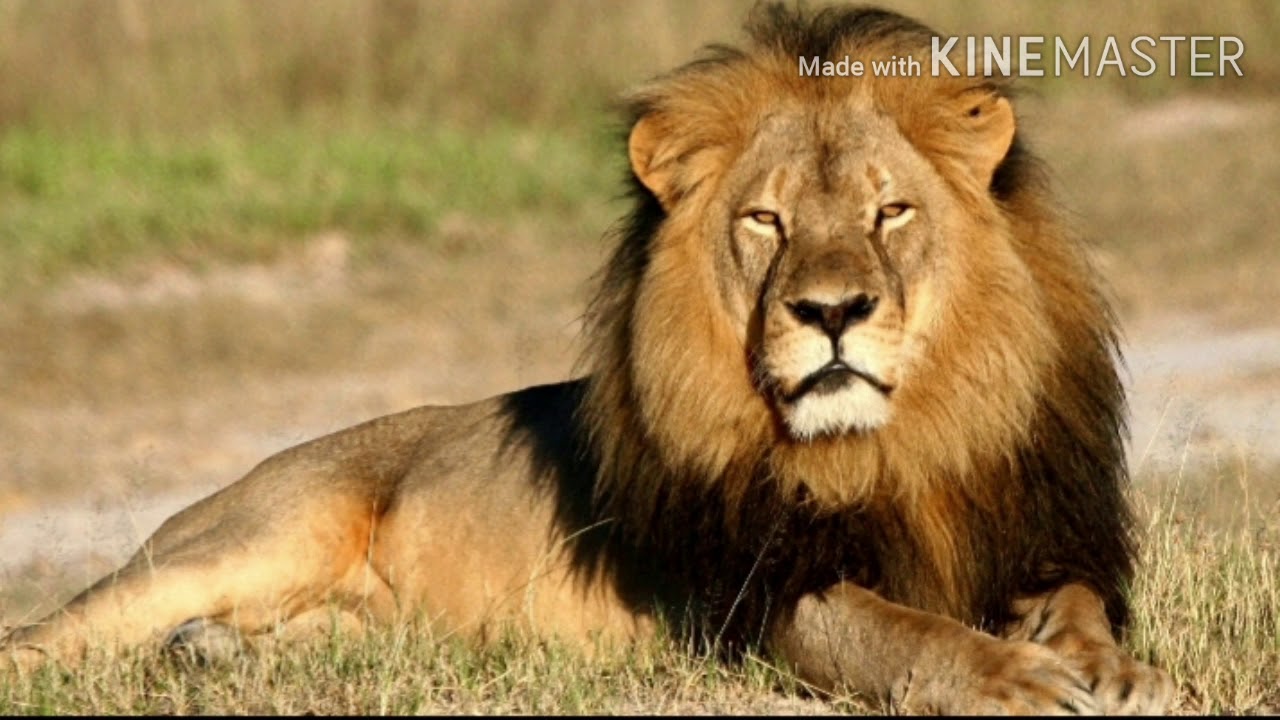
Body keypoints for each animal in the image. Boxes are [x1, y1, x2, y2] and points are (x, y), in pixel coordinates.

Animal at [3, 4, 1173, 715]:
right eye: (764, 221)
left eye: (890, 212)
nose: (831, 311)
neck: (898, 444)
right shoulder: (753, 600)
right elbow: (897, 633)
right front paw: (1019, 680)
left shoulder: (1033, 538)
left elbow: (1077, 605)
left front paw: (1114, 672)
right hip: (246, 538)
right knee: (43, 635)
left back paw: (218, 654)